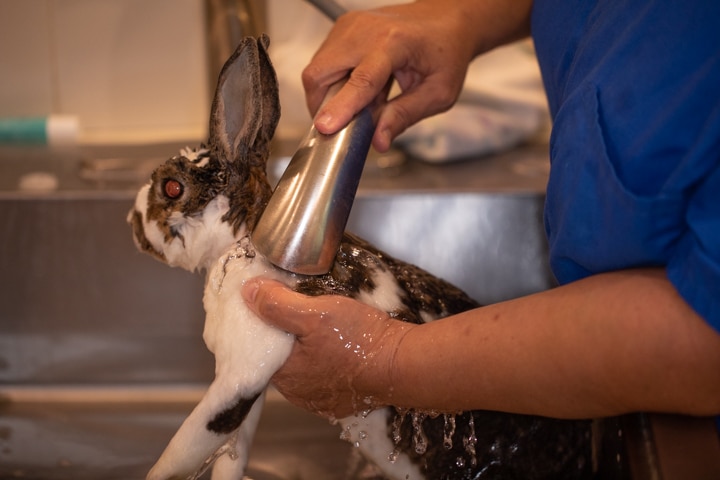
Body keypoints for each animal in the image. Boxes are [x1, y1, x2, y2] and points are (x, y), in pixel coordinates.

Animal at [128, 35, 593, 480]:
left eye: (172, 188)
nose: (132, 222)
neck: (245, 241)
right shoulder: (249, 393)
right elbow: (232, 452)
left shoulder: (241, 371)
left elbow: (185, 447)